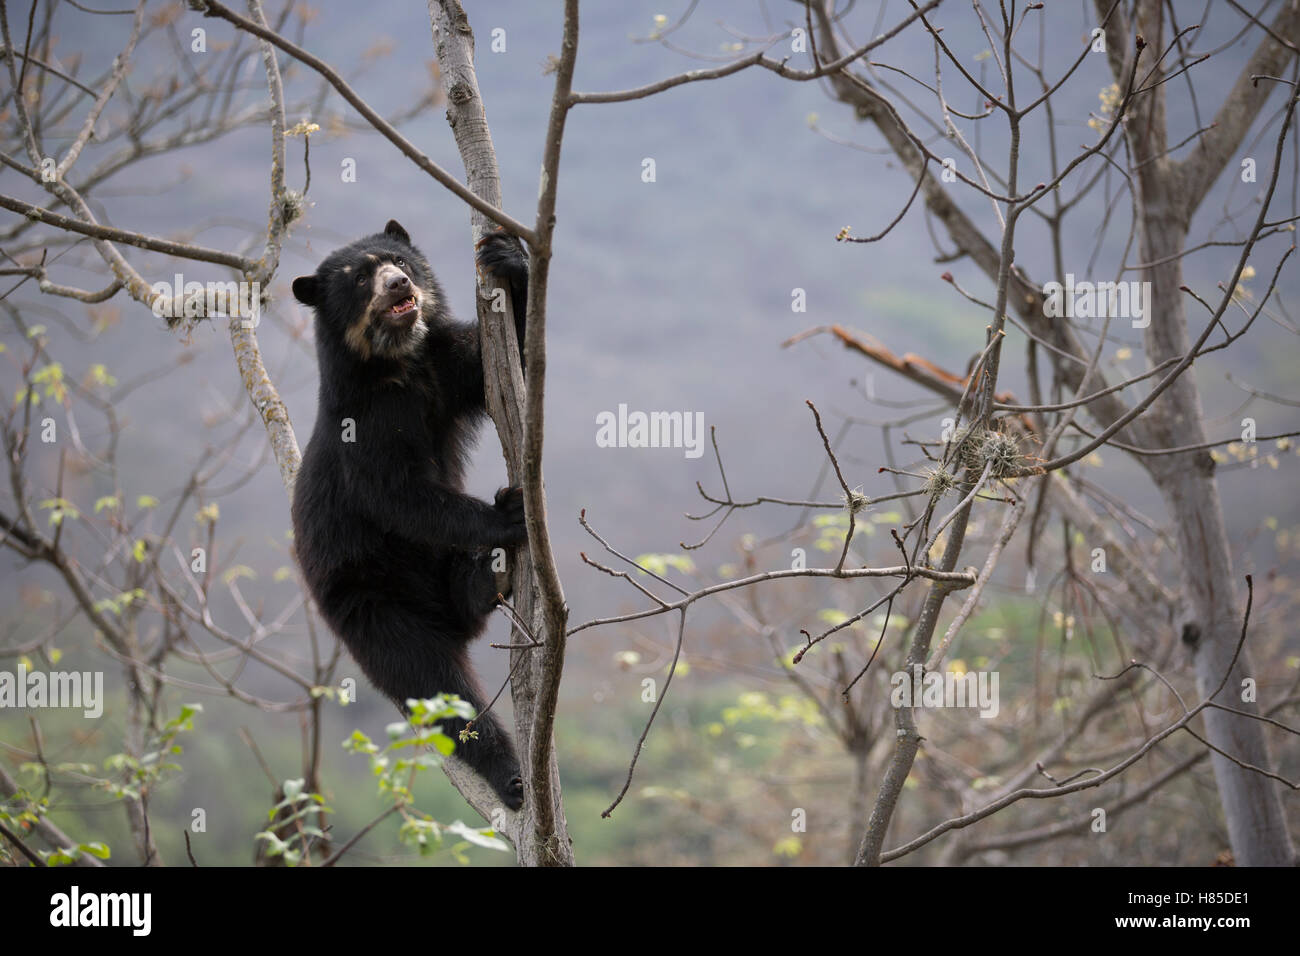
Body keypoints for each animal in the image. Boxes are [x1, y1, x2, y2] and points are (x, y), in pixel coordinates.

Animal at [290, 219, 529, 810]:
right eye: (359, 278)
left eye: (399, 261)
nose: (399, 284)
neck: (399, 365)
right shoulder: (363, 427)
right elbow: (399, 496)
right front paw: (508, 514)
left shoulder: (447, 364)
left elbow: (509, 364)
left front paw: (507, 256)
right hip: (372, 607)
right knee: (437, 686)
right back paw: (512, 778)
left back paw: (487, 576)